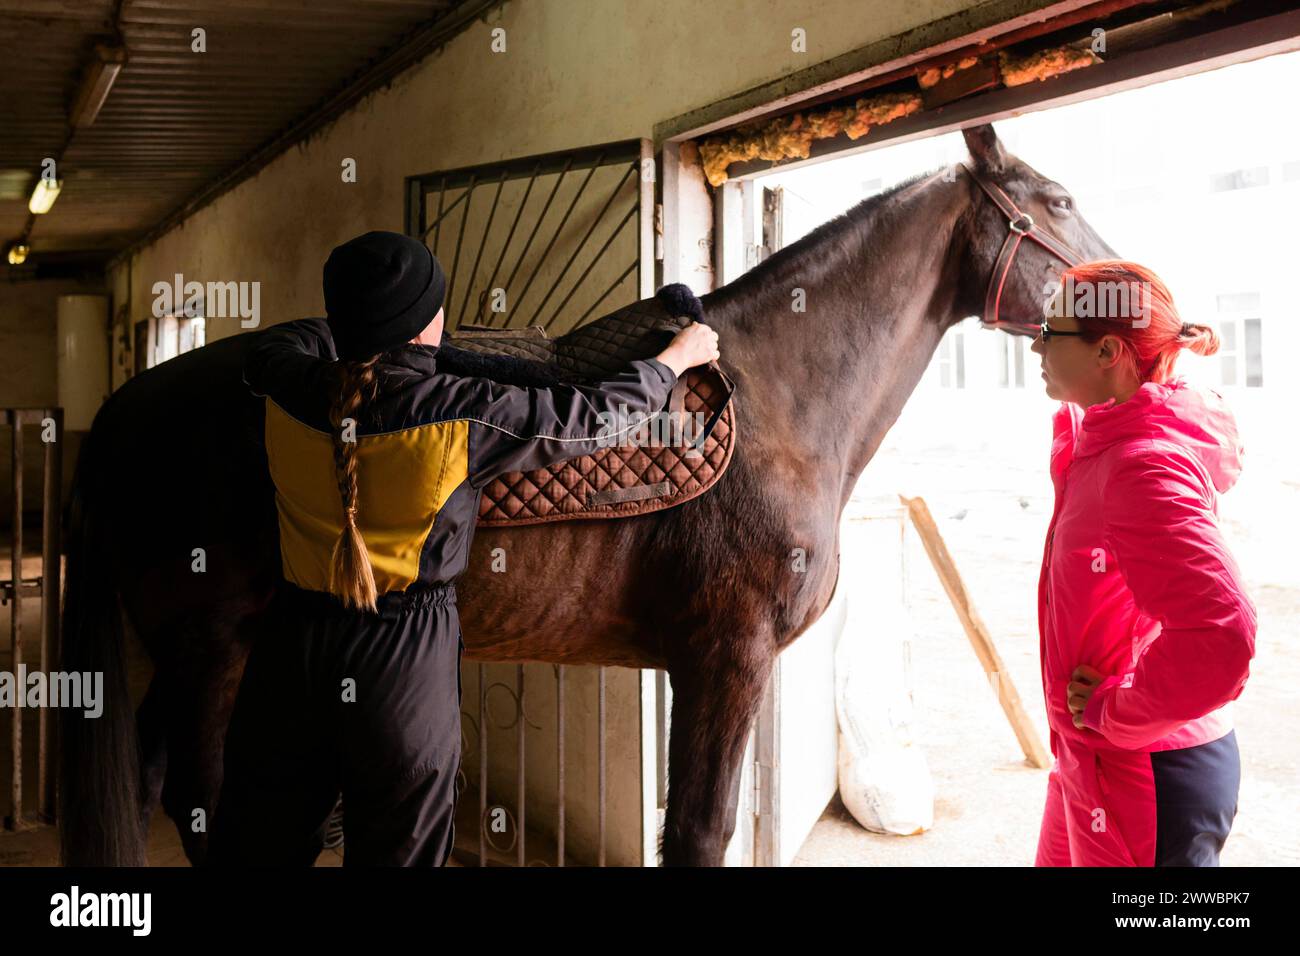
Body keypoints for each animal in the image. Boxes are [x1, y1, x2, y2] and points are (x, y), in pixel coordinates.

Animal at [59, 123, 1117, 867]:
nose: (1143, 295)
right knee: (196, 800)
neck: (776, 400)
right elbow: (698, 832)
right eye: (1058, 201)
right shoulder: (725, 660)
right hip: (211, 650)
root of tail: (127, 407)